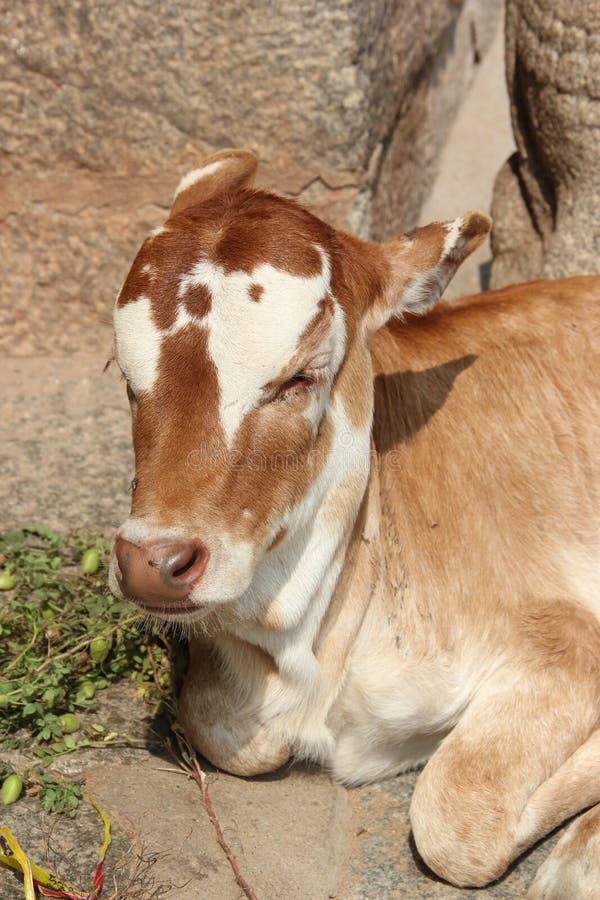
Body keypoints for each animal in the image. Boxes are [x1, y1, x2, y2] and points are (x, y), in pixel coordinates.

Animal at [109, 149, 600, 897]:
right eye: (126, 376)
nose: (153, 562)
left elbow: (455, 818)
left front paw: (580, 856)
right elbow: (221, 723)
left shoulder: (567, 640)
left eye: (300, 377)